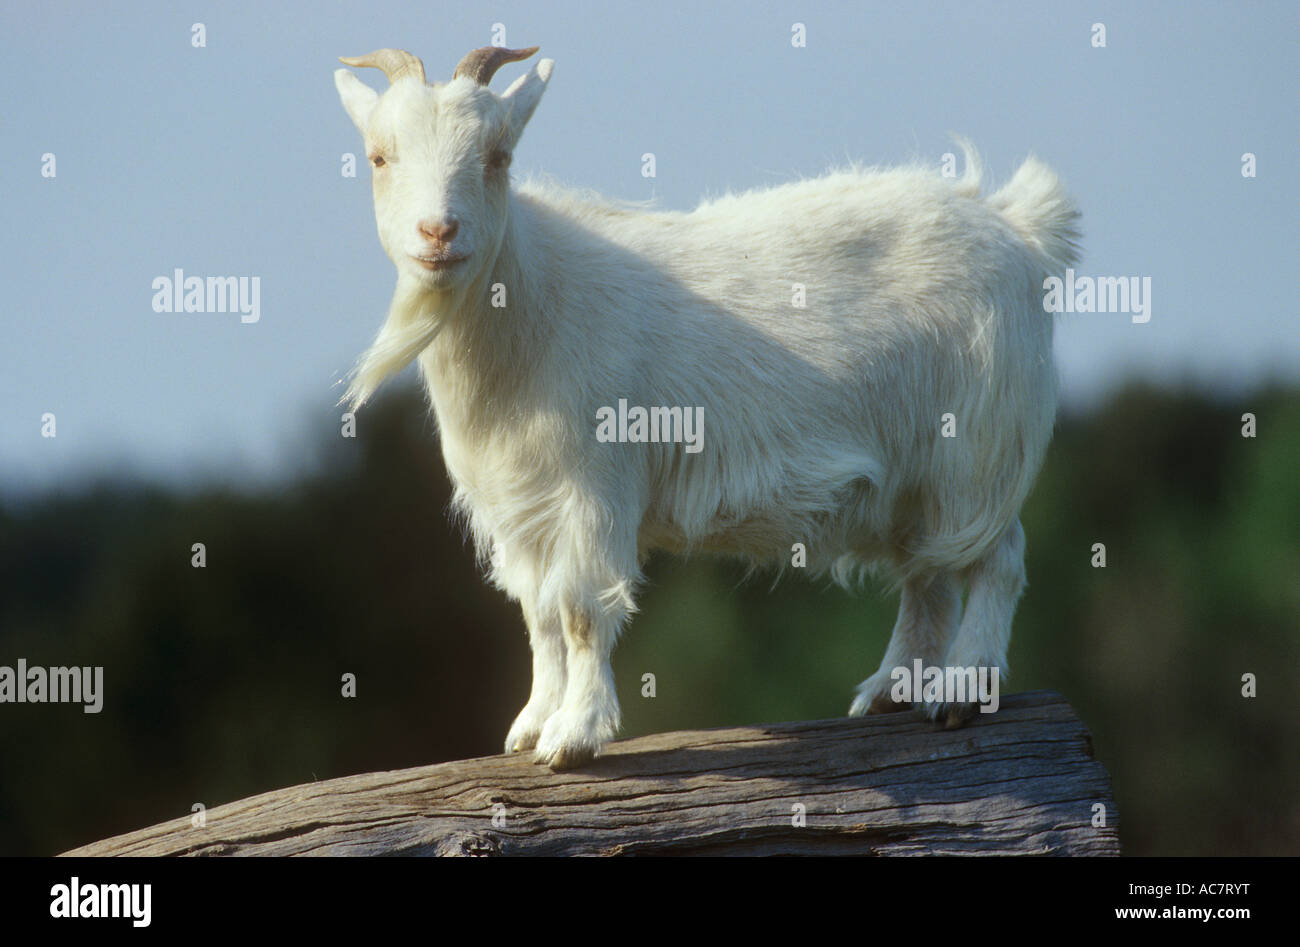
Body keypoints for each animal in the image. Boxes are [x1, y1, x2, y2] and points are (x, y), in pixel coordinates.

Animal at [334, 45, 1081, 769]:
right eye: (379, 156)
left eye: (498, 156)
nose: (438, 232)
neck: (532, 298)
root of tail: (1021, 227)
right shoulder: (521, 506)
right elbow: (539, 617)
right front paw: (531, 725)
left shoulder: (592, 485)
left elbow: (578, 611)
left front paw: (574, 737)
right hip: (919, 477)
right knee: (928, 574)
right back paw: (891, 691)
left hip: (978, 446)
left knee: (995, 558)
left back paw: (963, 689)